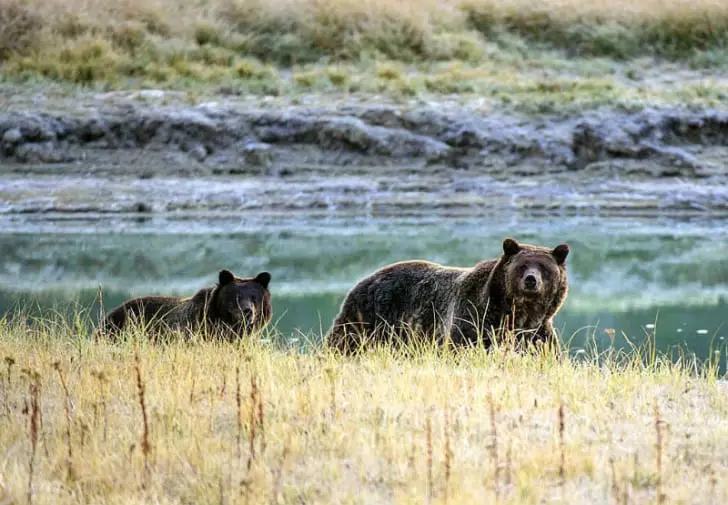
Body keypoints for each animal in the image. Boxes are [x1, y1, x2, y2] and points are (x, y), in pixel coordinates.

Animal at [324, 237, 568, 352]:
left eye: (543, 267)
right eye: (522, 265)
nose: (531, 280)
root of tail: (364, 279)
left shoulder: (537, 333)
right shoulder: (474, 318)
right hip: (368, 316)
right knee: (344, 342)